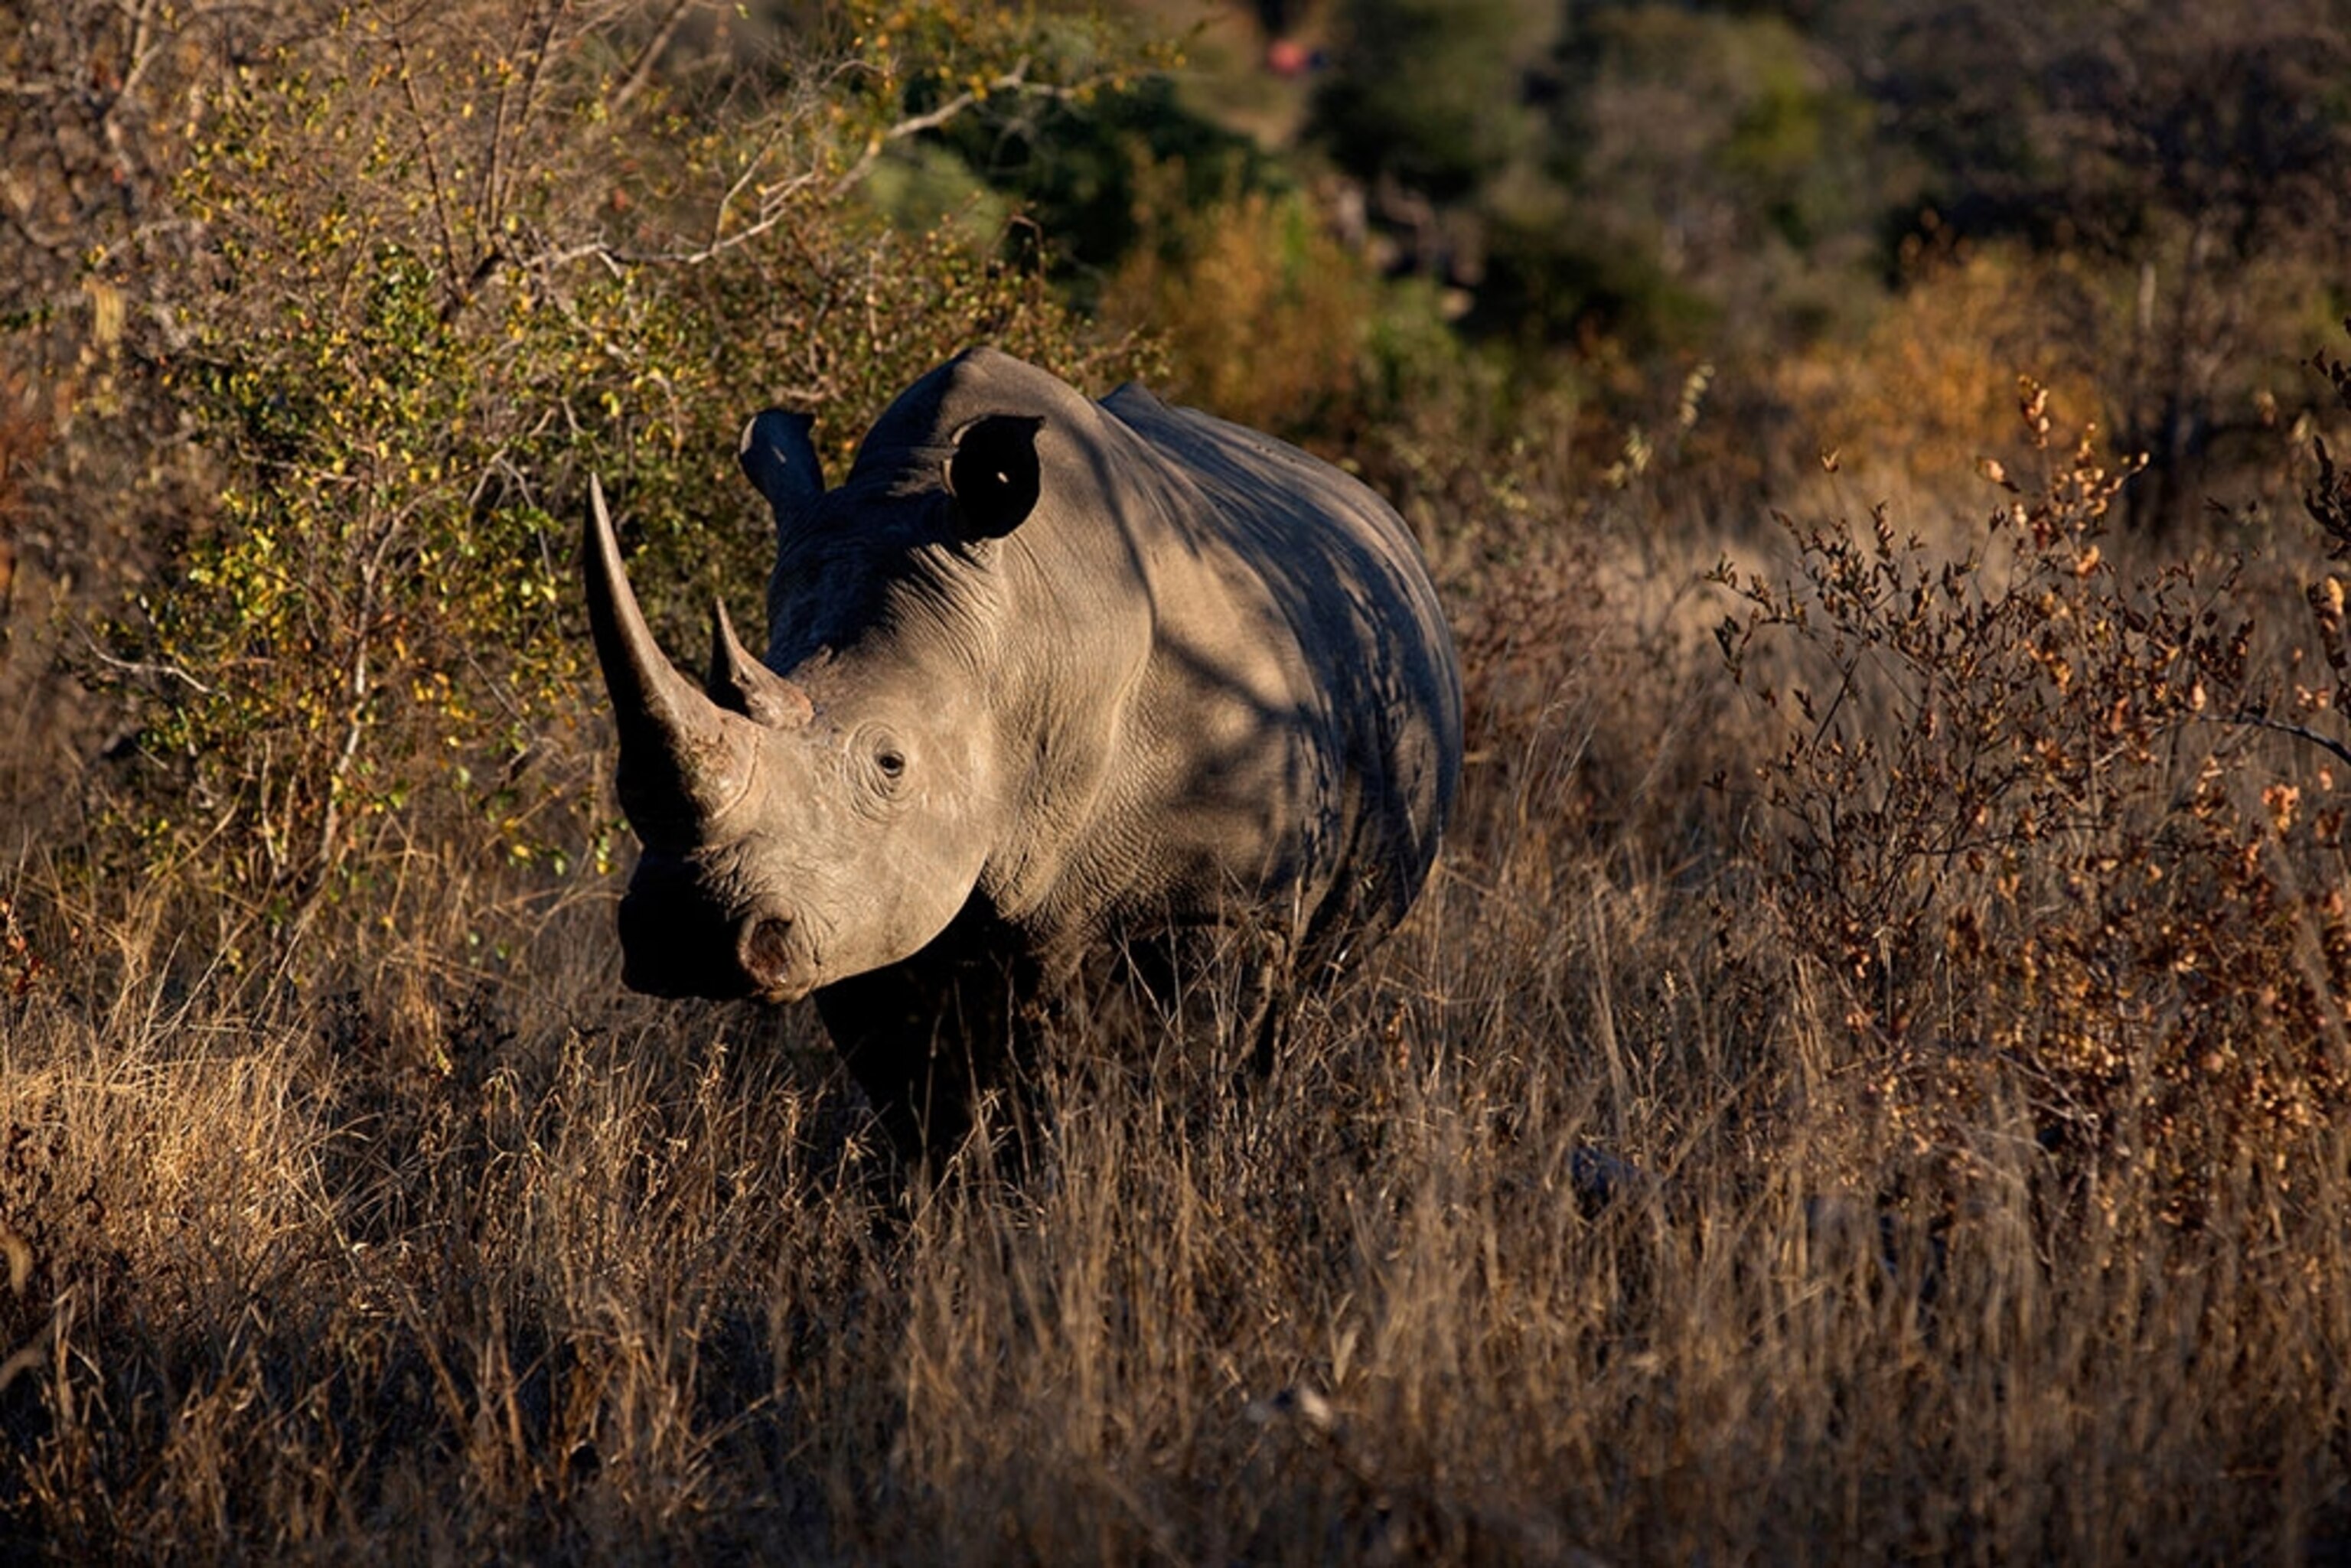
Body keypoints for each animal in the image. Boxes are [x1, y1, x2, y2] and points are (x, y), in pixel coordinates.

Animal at [585, 347, 1462, 1154]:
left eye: (890, 763)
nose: (683, 932)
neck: (1027, 642)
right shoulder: (864, 903)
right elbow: (926, 1100)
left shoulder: (1225, 901)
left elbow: (1178, 1073)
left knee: (1311, 990)